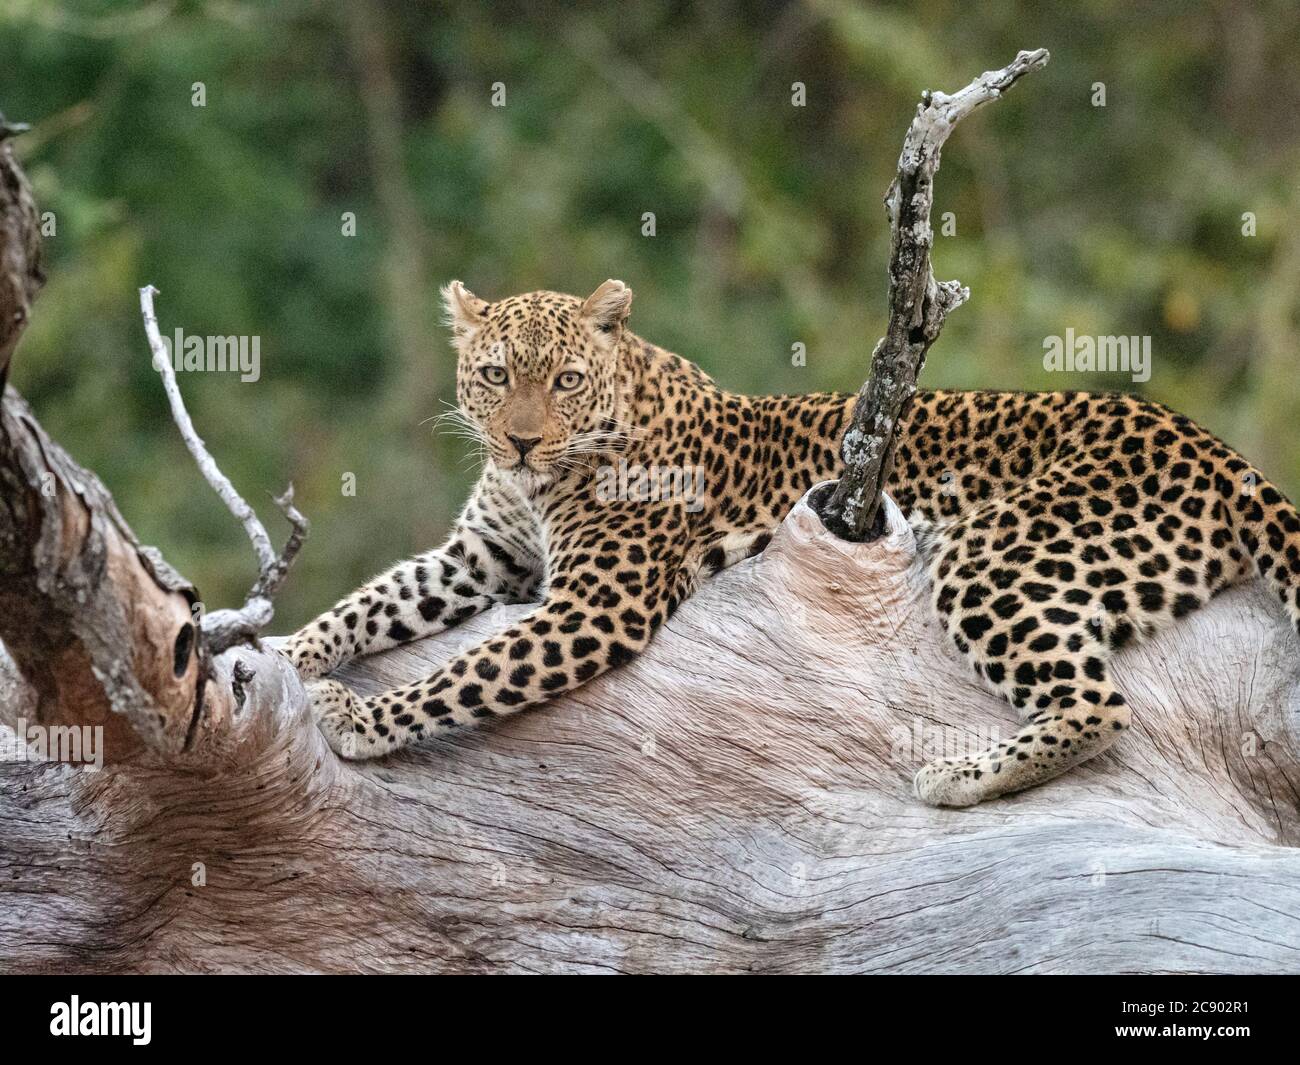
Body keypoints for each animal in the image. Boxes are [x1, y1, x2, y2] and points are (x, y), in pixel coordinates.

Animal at [282, 278, 1300, 807]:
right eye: (496, 376)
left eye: (565, 379)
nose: (522, 439)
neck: (537, 485)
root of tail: (1210, 442)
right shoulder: (478, 559)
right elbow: (367, 602)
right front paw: (283, 656)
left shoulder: (596, 604)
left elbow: (467, 672)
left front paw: (360, 718)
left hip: (997, 552)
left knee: (1102, 706)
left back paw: (959, 776)